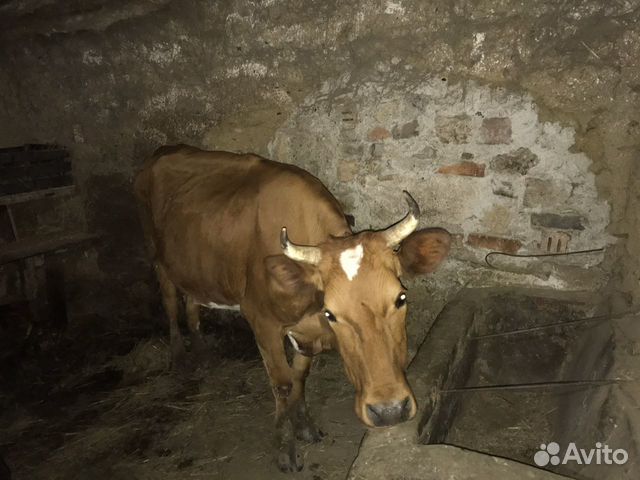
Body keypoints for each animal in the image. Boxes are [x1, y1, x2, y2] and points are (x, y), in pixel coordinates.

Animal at [134, 145, 451, 472]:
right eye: (331, 313)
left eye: (401, 298)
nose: (389, 411)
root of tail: (167, 150)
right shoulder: (262, 322)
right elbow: (283, 384)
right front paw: (285, 448)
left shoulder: (305, 333)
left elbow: (300, 376)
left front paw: (305, 427)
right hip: (158, 257)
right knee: (170, 304)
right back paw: (180, 357)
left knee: (192, 302)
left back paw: (201, 352)